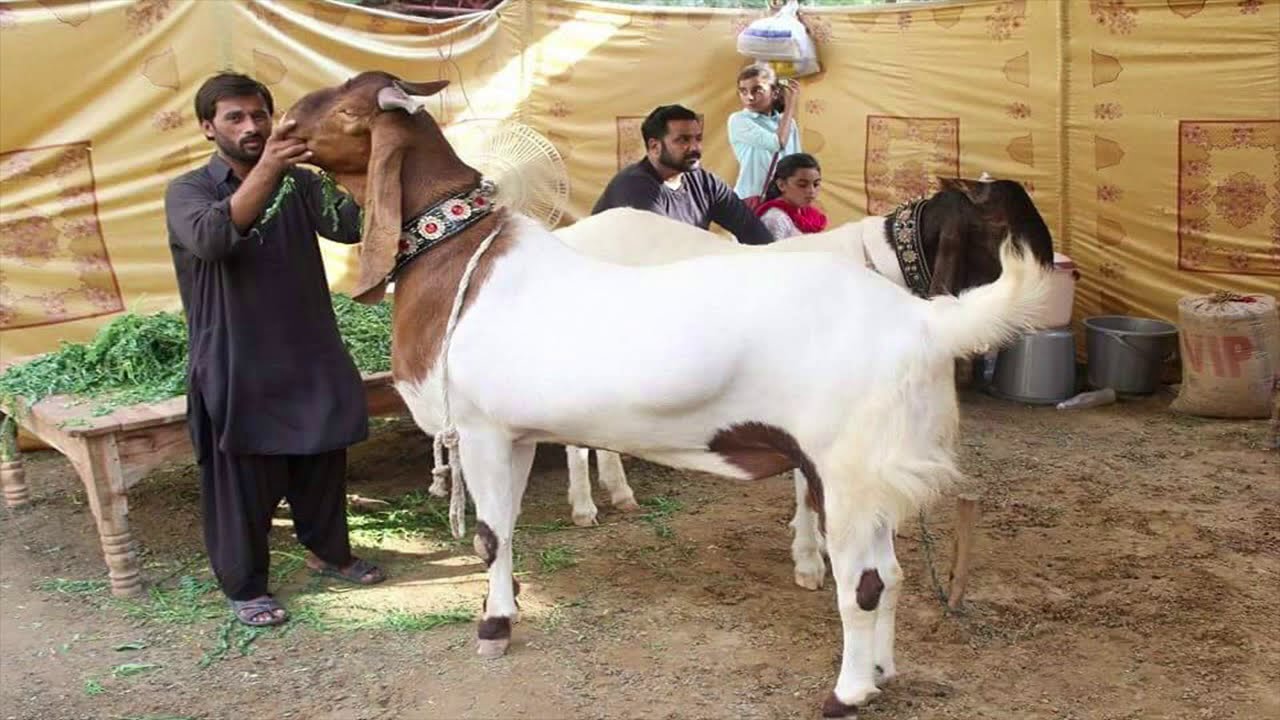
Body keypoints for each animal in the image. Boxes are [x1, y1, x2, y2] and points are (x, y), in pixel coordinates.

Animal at [284, 71, 1053, 716]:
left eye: (346, 110)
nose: (286, 123)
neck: (462, 265)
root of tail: (924, 321)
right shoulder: (515, 431)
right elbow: (504, 530)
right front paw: (508, 605)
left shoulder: (478, 428)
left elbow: (487, 533)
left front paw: (494, 625)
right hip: (875, 474)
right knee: (890, 574)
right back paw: (883, 673)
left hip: (850, 470)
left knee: (864, 583)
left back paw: (847, 692)